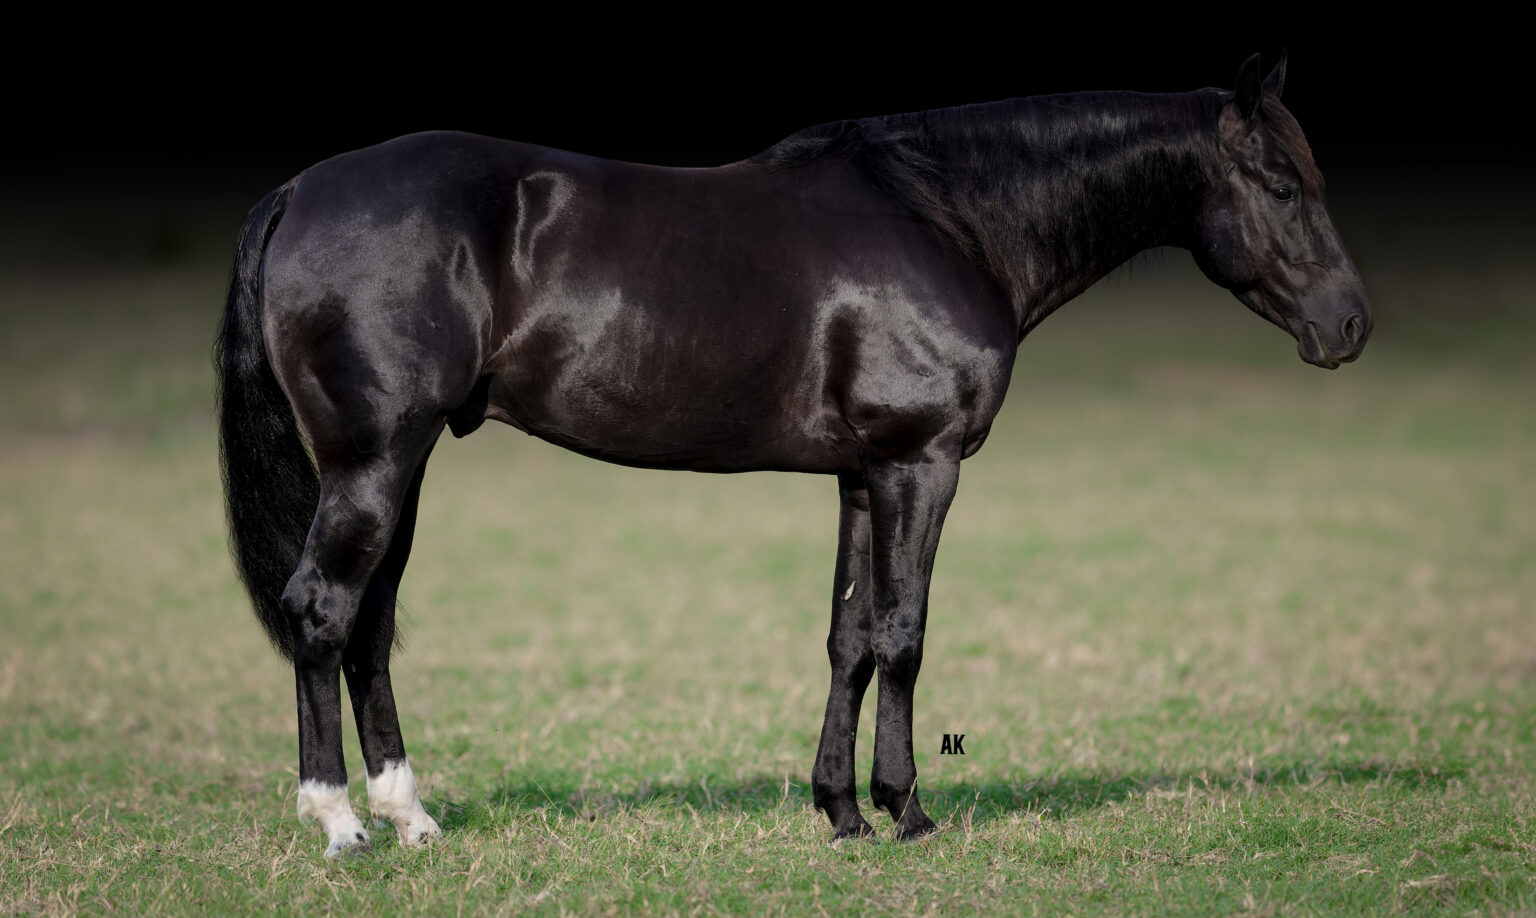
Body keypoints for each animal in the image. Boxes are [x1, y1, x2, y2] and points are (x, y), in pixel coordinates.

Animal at [216, 52, 1370, 857]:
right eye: (1279, 182)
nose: (1350, 327)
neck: (947, 217)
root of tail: (298, 192)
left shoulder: (862, 477)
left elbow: (848, 639)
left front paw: (841, 813)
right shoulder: (921, 463)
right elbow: (904, 635)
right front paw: (907, 812)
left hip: (400, 471)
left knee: (368, 629)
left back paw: (409, 817)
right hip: (372, 463)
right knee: (322, 610)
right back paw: (341, 824)